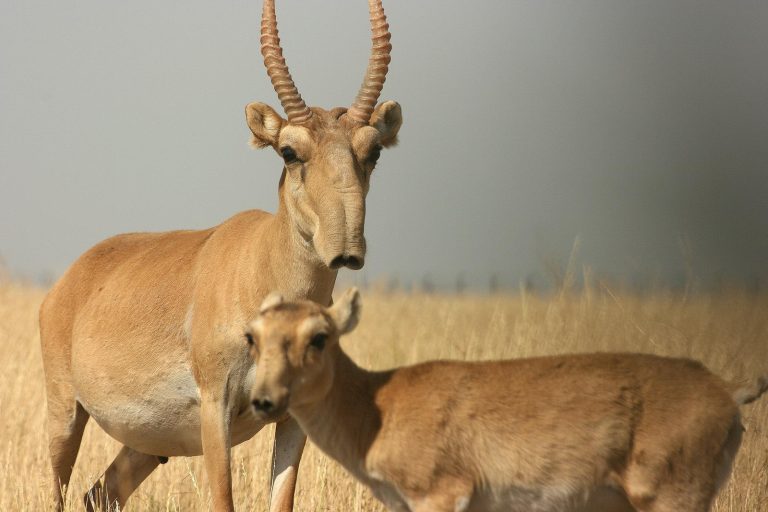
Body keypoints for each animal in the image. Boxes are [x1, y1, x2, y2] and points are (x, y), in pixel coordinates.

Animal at [38, 0, 401, 510]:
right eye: (289, 151)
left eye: (373, 152)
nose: (346, 248)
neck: (259, 263)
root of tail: (69, 281)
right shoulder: (217, 408)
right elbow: (223, 498)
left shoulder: (293, 418)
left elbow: (282, 498)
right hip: (65, 415)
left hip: (145, 447)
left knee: (99, 494)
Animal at [247, 288, 768, 512]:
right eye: (253, 336)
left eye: (319, 337)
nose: (263, 400)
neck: (378, 404)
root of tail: (727, 389)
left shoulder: (442, 496)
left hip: (671, 499)